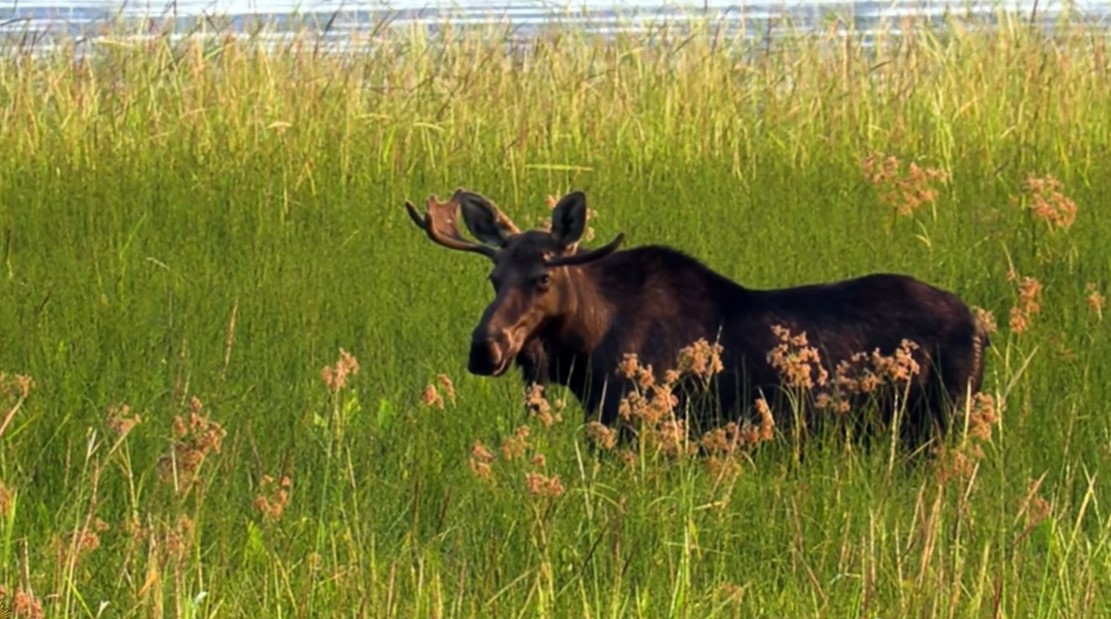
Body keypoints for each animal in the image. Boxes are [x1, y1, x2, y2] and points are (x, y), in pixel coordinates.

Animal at [405, 188, 989, 451]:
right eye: (493, 277)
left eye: (543, 279)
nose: (485, 347)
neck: (585, 352)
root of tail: (980, 327)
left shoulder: (640, 424)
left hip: (938, 423)